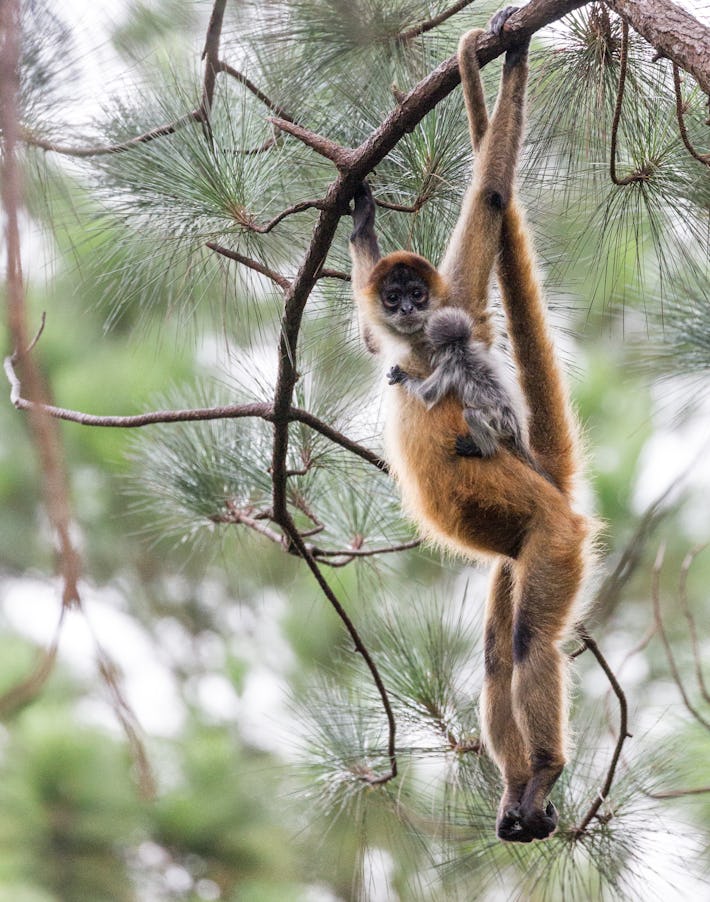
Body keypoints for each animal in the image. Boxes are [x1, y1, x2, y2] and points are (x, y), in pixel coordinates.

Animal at [348, 8, 590, 843]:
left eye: (418, 294)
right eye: (395, 295)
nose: (405, 307)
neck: (423, 348)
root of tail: (556, 496)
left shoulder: (459, 306)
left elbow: (487, 196)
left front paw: (514, 53)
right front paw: (360, 218)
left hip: (553, 539)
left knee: (527, 644)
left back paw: (543, 770)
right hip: (515, 559)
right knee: (495, 655)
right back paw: (519, 788)